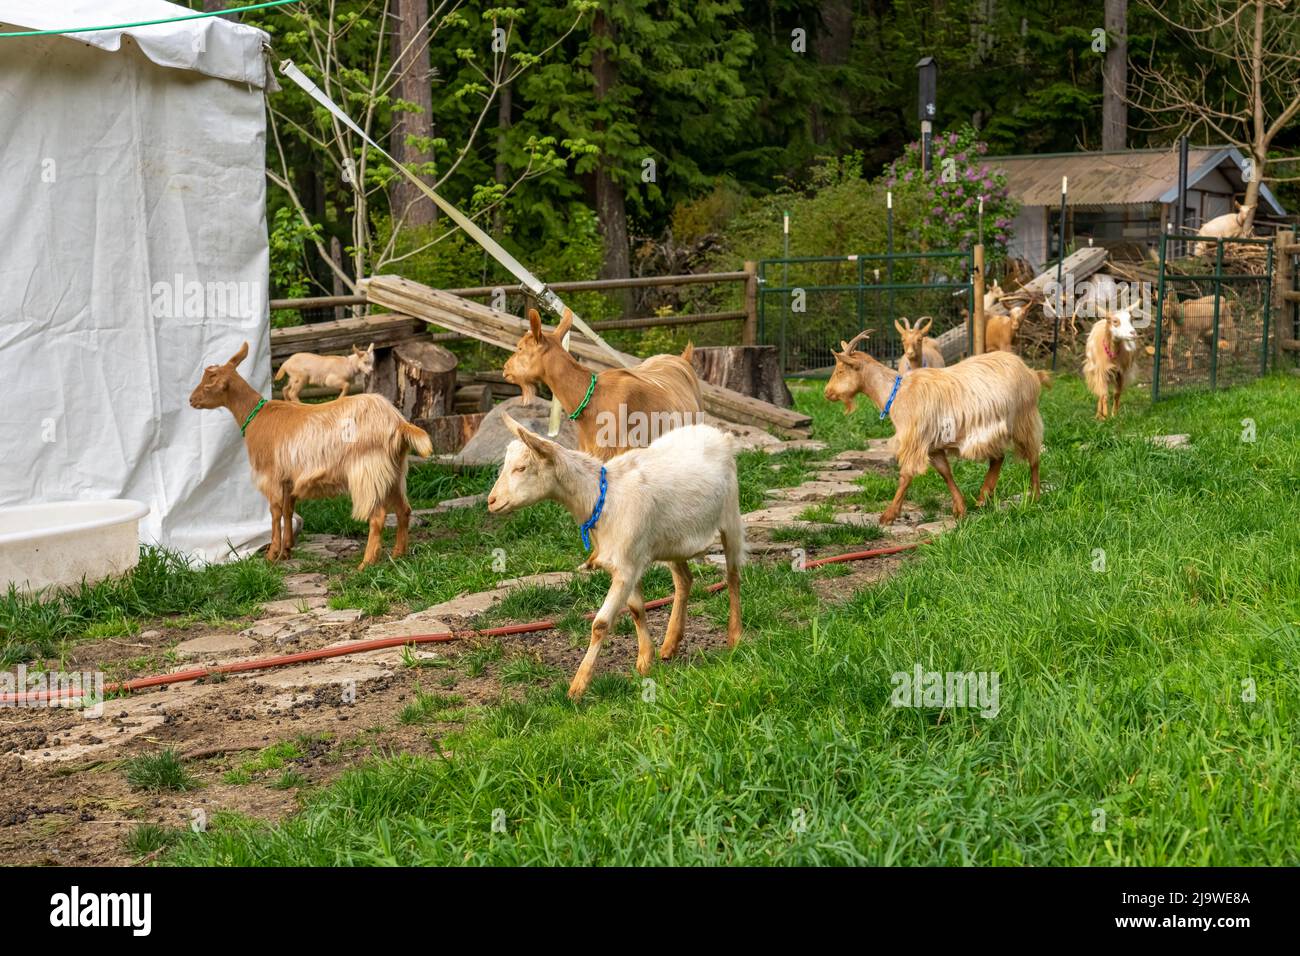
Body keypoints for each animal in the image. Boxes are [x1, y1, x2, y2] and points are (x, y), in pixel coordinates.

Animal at [190, 342, 432, 568]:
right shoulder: (289, 478)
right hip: (394, 471)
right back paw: (398, 554)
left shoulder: (271, 475)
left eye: (209, 380)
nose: (191, 400)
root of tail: (397, 422)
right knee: (404, 510)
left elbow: (275, 512)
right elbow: (288, 510)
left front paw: (272, 554)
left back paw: (366, 564)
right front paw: (286, 550)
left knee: (378, 516)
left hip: (368, 470)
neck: (256, 416)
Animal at [487, 415, 745, 699]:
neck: (602, 497)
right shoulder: (625, 564)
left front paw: (577, 687)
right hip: (672, 539)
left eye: (521, 468)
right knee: (684, 580)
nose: (491, 501)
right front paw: (645, 661)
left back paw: (735, 637)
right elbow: (636, 610)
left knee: (733, 576)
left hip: (731, 517)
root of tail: (718, 433)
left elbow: (600, 623)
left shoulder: (626, 567)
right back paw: (670, 644)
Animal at [824, 330, 1047, 525]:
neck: (897, 392)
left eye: (841, 370)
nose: (827, 392)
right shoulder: (933, 445)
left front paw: (888, 515)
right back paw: (983, 498)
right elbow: (945, 472)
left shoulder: (915, 439)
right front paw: (960, 509)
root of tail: (1030, 372)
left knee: (1033, 456)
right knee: (998, 458)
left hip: (1023, 419)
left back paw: (1035, 497)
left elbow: (906, 475)